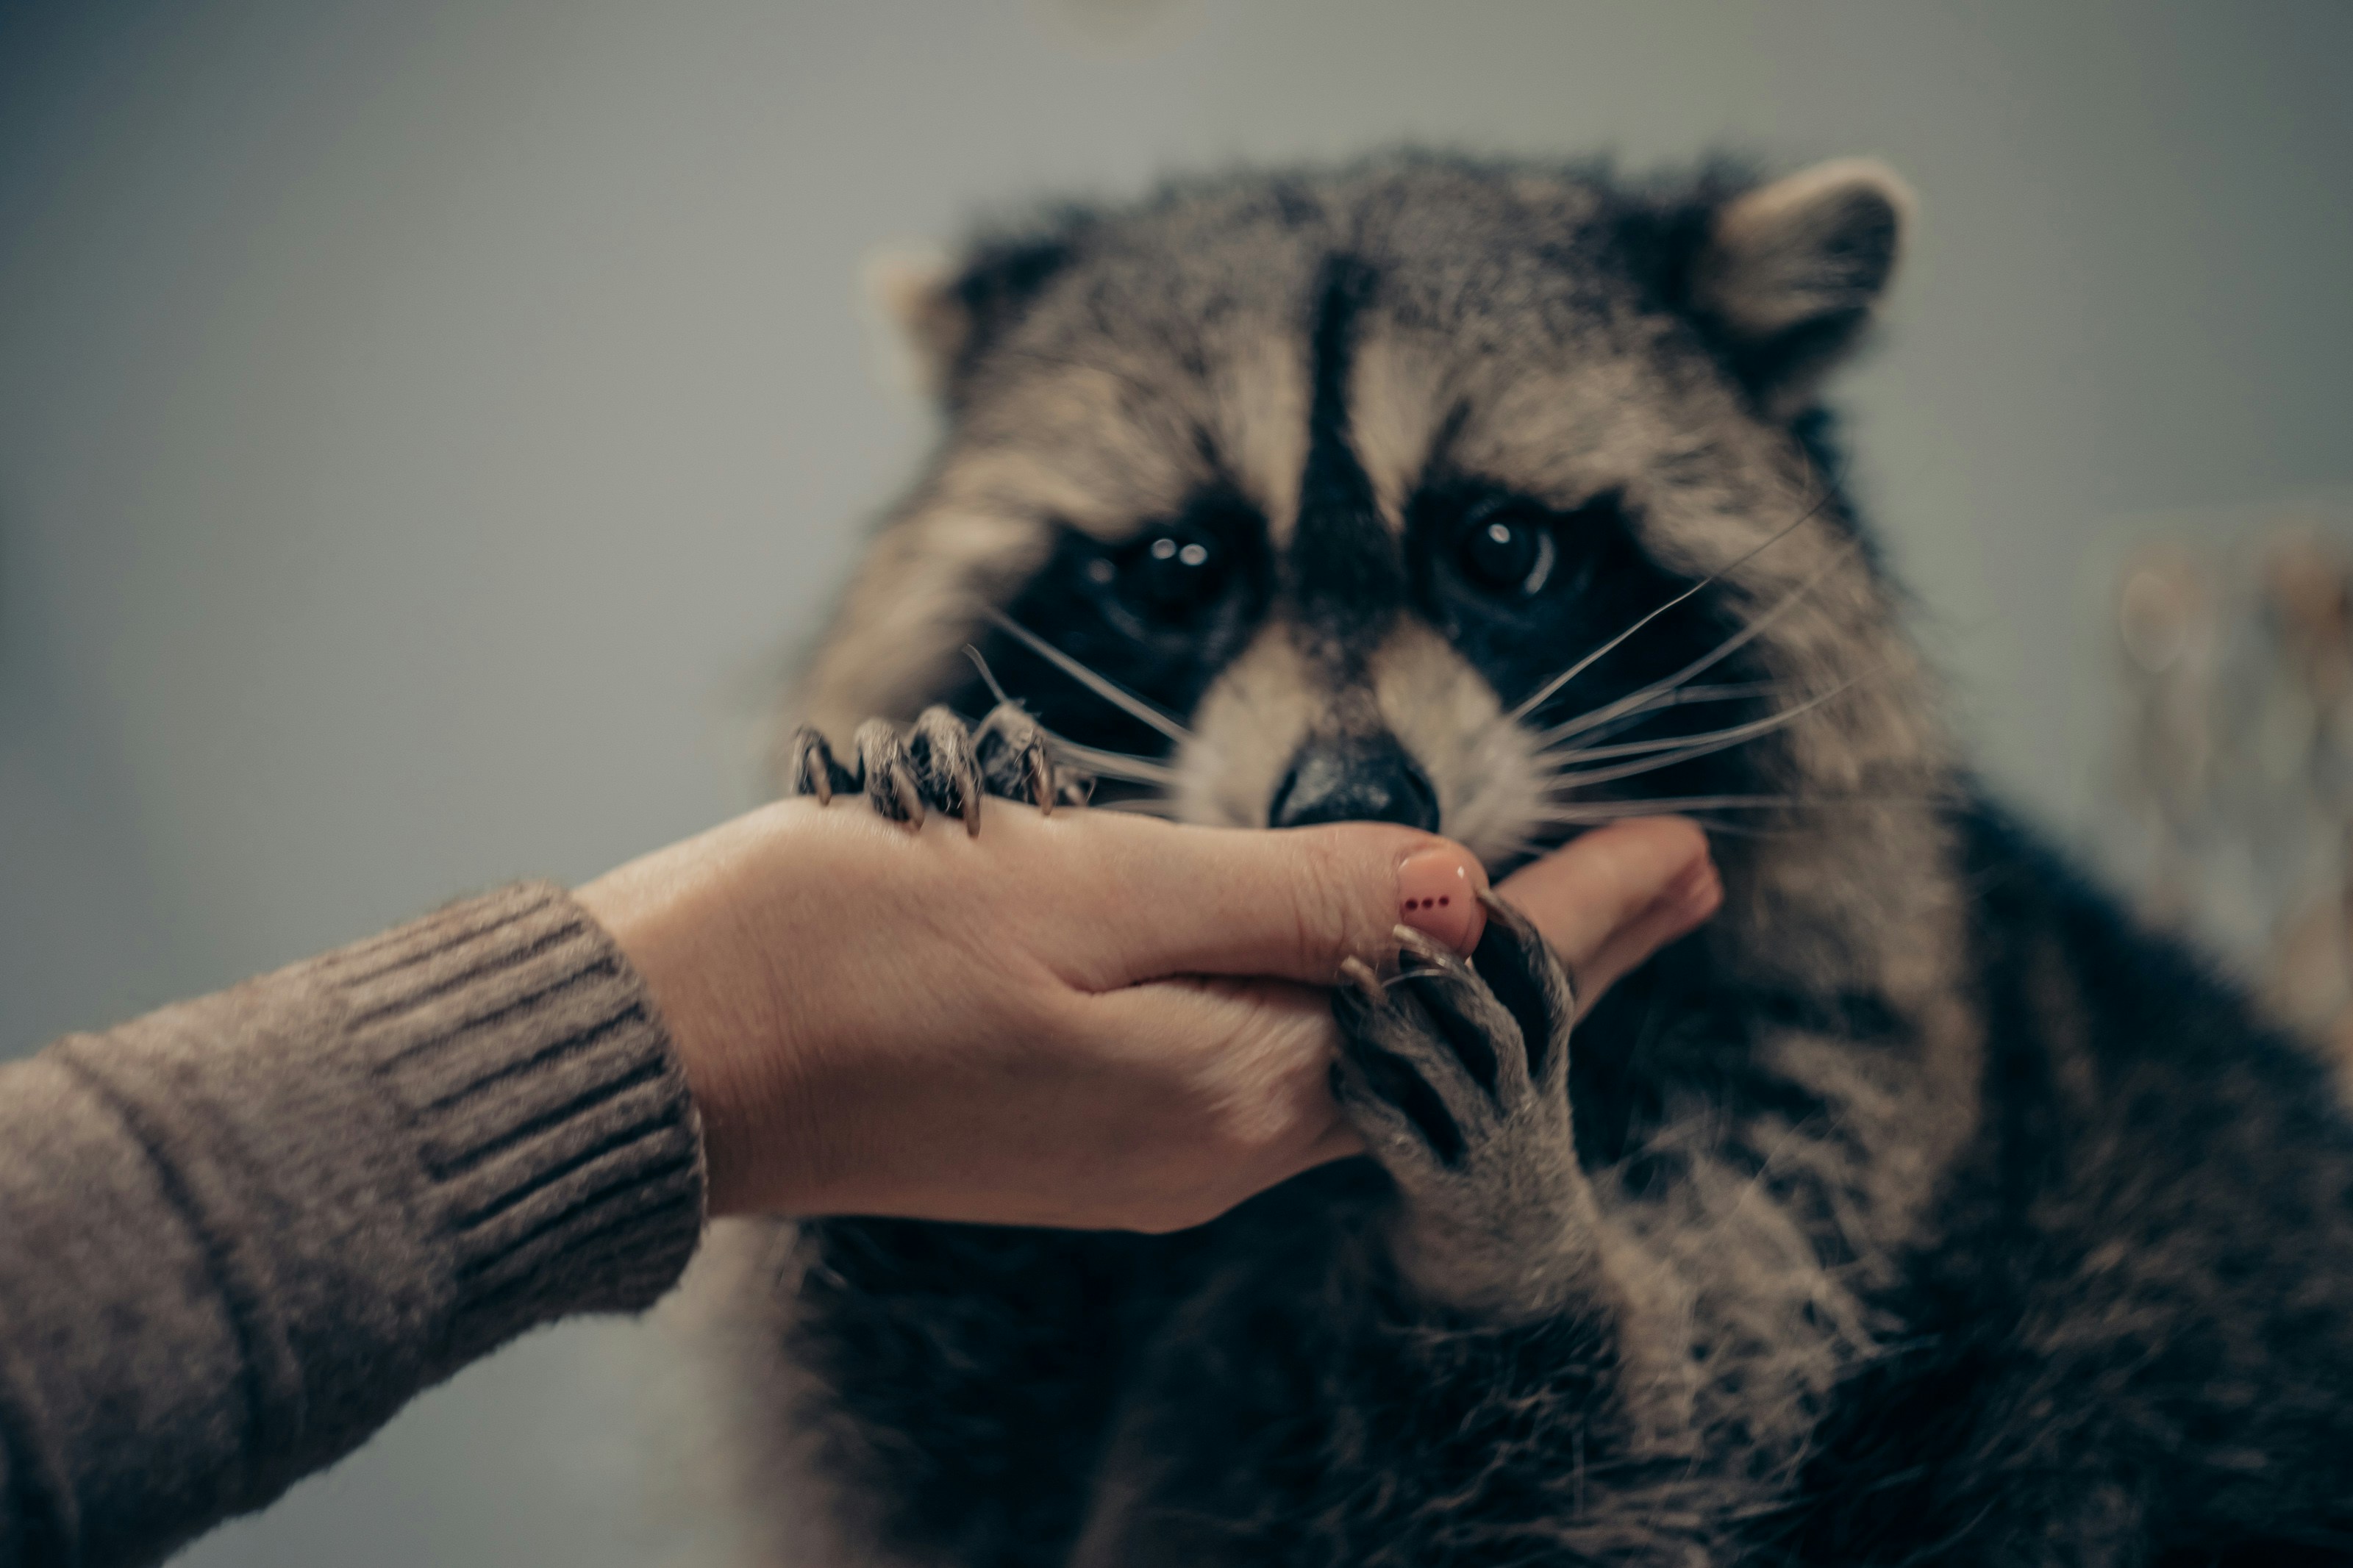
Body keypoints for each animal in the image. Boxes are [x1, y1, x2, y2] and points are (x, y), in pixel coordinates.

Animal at [713, 155, 2353, 1566]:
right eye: (1179, 568)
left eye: (1502, 547)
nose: (1350, 798)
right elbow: (939, 1477)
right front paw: (936, 1098)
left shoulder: (1839, 1081)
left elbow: (1610, 1468)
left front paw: (1513, 1247)